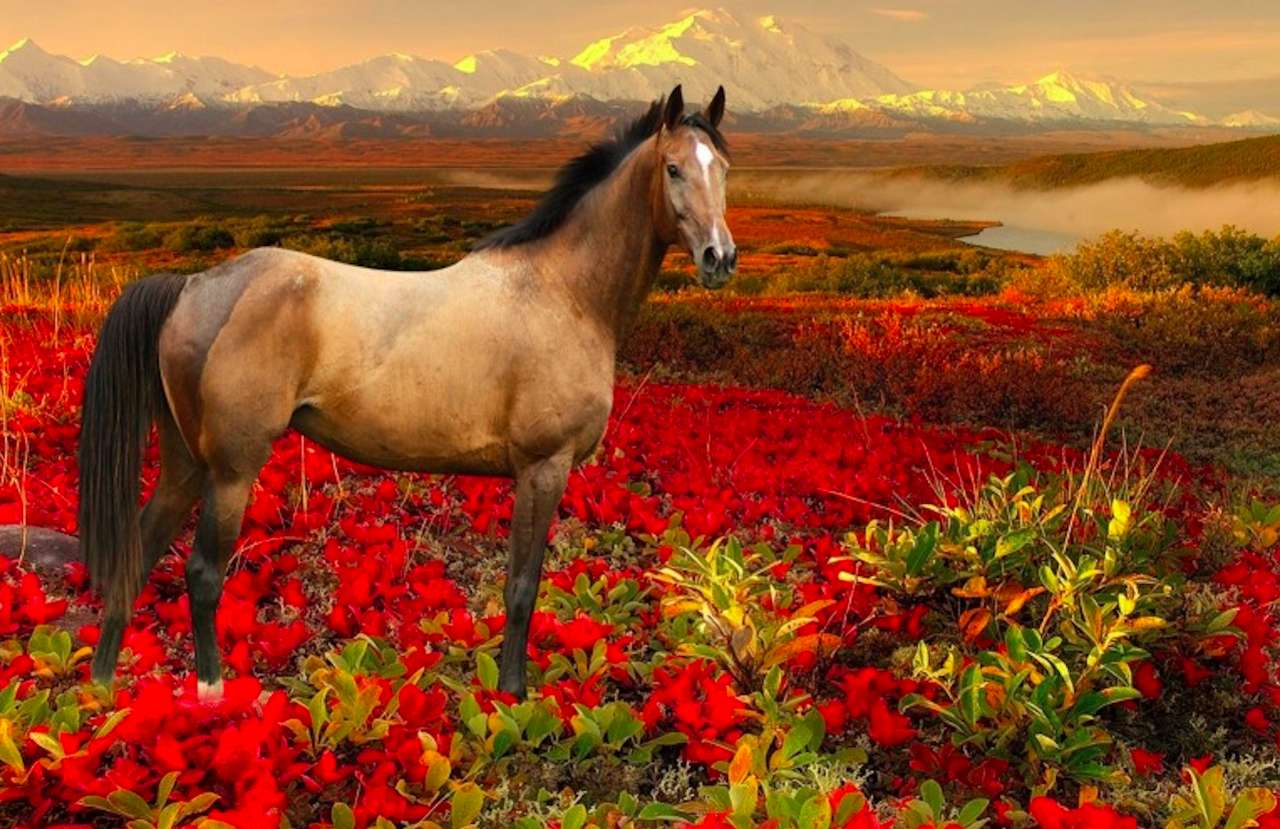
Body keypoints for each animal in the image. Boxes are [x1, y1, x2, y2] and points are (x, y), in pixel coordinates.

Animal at [78, 84, 736, 699]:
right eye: (673, 168)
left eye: (724, 169)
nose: (719, 258)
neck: (561, 291)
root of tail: (195, 285)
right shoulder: (542, 469)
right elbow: (522, 587)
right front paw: (512, 695)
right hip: (231, 471)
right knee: (203, 574)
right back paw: (211, 694)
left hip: (186, 462)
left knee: (138, 553)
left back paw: (102, 690)